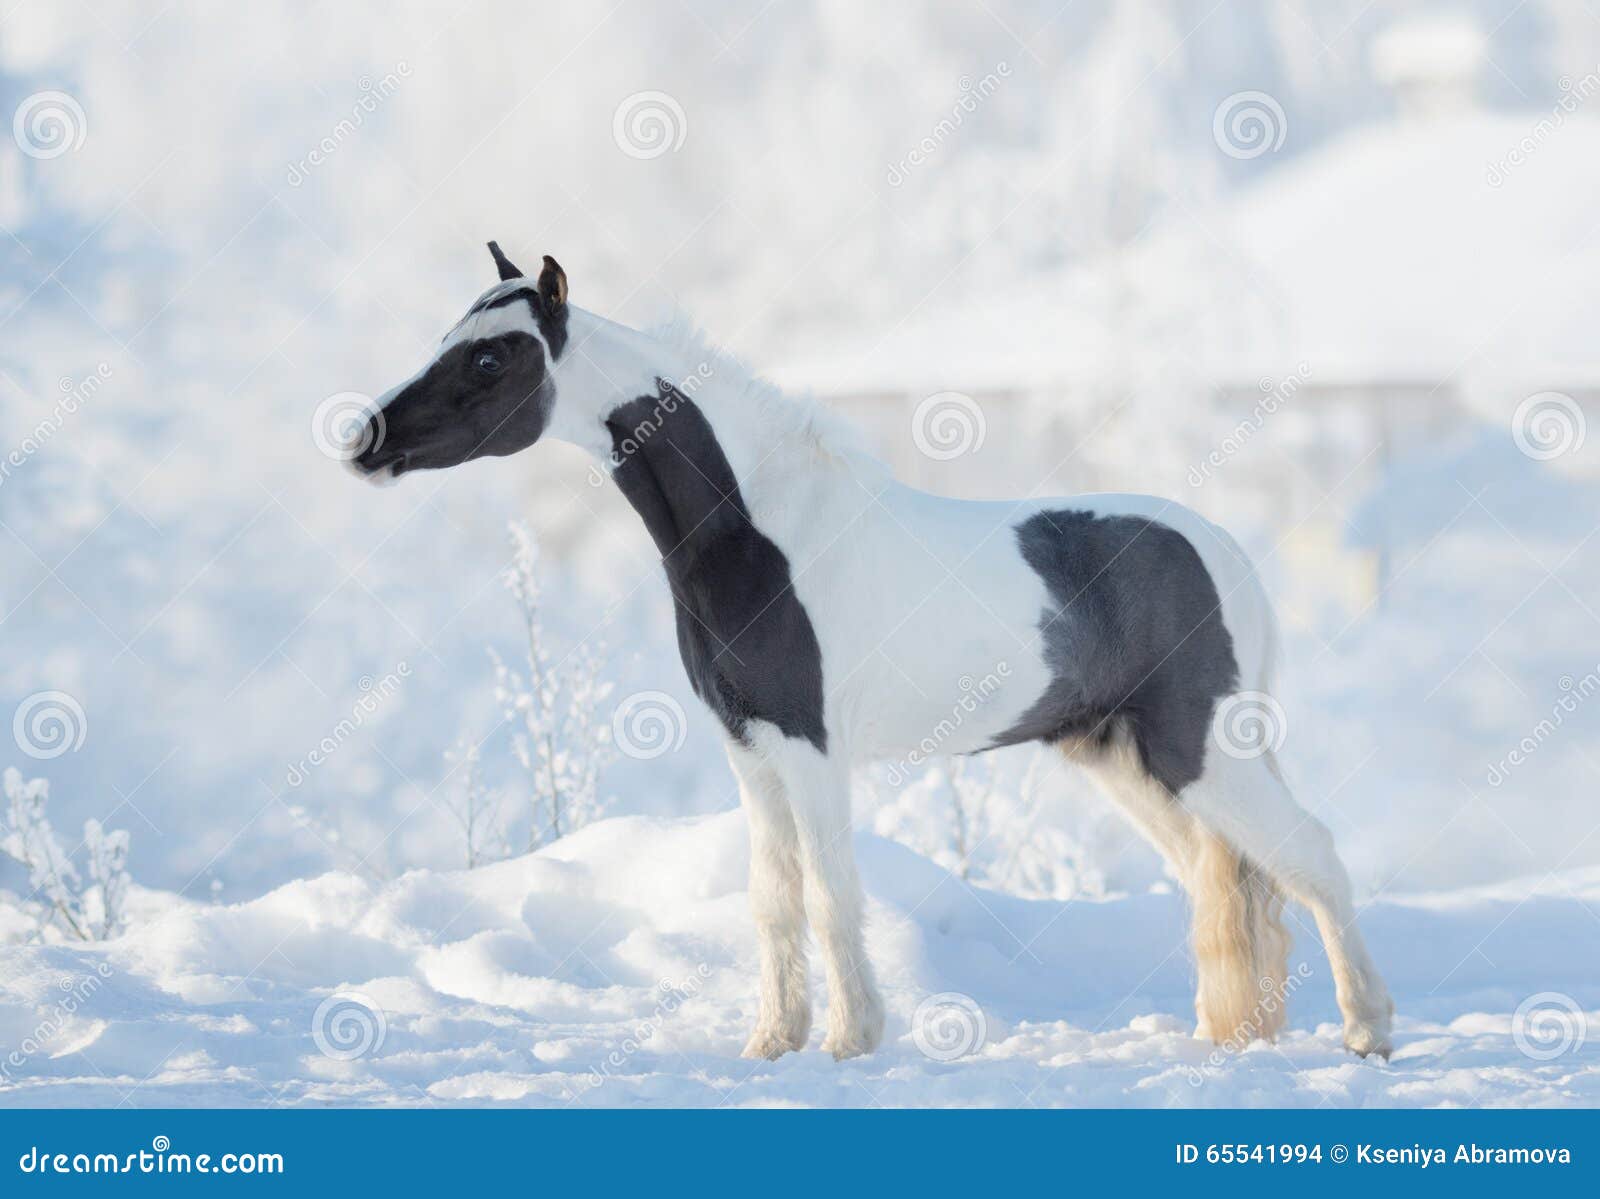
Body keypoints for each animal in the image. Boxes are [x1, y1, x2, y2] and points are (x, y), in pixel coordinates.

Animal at [348, 241, 1394, 1062]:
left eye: (492, 357)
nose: (366, 438)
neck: (757, 530)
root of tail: (1223, 553)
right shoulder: (751, 753)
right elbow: (772, 901)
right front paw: (772, 1041)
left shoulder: (812, 751)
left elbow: (830, 896)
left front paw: (853, 1039)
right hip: (1135, 762)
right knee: (1232, 879)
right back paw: (1236, 1035)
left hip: (1201, 751)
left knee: (1313, 855)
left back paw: (1367, 1031)